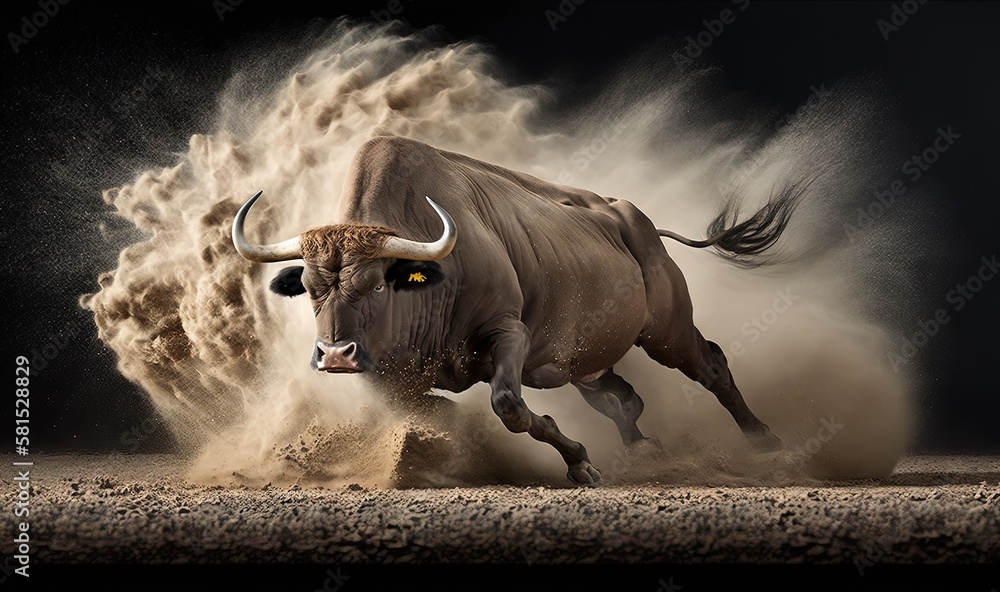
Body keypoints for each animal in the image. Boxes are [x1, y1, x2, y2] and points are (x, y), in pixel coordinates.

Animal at [232, 135, 805, 485]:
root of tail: (635, 220)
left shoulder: (508, 336)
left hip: (665, 329)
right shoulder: (392, 380)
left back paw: (767, 442)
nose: (336, 355)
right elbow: (446, 413)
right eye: (308, 287)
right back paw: (645, 451)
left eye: (376, 285)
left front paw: (581, 466)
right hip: (588, 362)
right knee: (622, 399)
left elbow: (510, 406)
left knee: (710, 366)